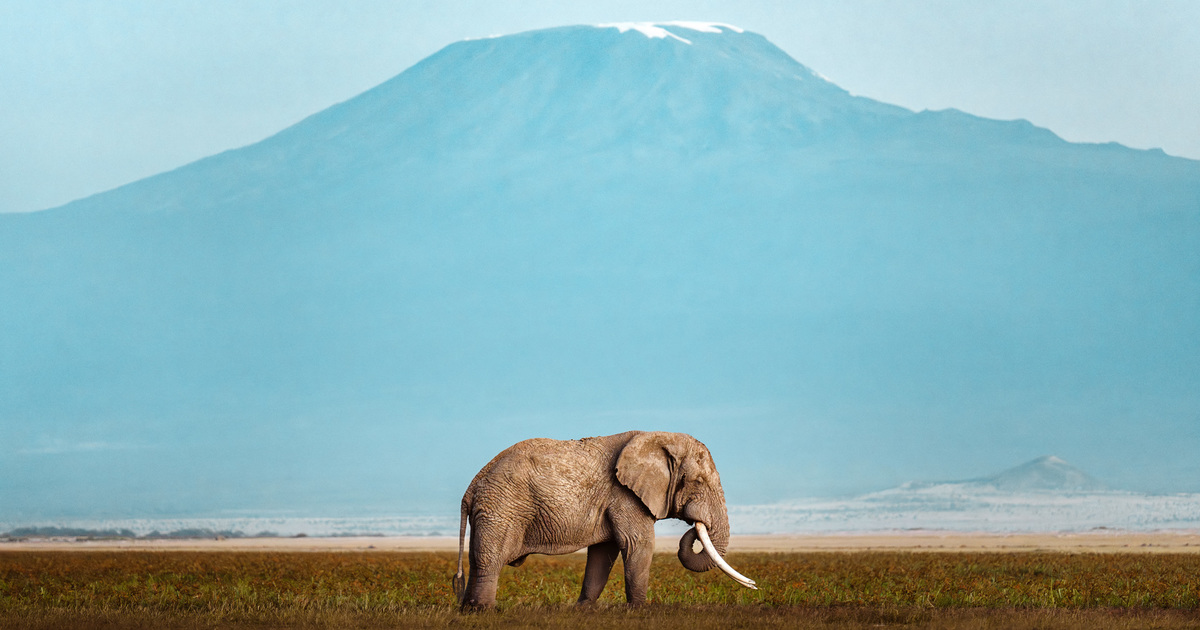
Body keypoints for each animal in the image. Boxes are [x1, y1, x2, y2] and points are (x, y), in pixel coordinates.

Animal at [453, 430, 756, 608]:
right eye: (698, 481)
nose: (694, 526)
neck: (656, 437)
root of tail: (472, 486)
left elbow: (603, 553)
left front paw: (583, 611)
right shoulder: (625, 495)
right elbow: (638, 545)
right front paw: (639, 612)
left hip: (491, 511)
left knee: (477, 560)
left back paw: (468, 611)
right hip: (502, 509)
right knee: (489, 561)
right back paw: (483, 612)